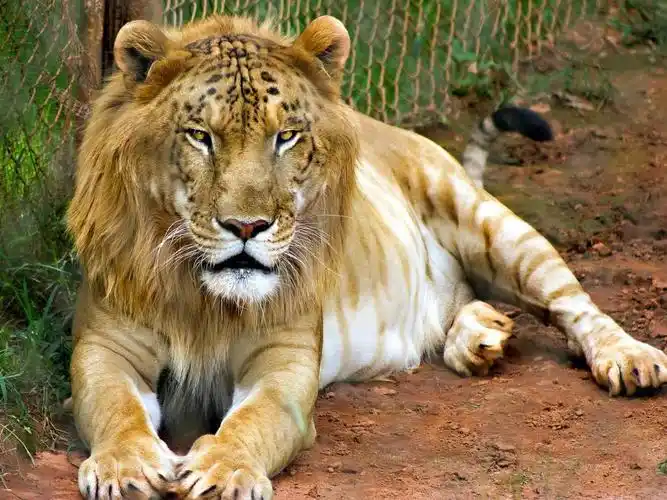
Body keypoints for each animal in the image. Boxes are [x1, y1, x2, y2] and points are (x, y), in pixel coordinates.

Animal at [66, 13, 667, 500]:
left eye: (287, 137)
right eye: (199, 136)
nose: (247, 227)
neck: (204, 297)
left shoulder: (284, 364)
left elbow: (253, 420)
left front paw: (225, 471)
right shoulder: (106, 348)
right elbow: (116, 408)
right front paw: (124, 467)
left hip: (484, 218)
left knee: (573, 302)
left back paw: (628, 359)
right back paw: (480, 339)